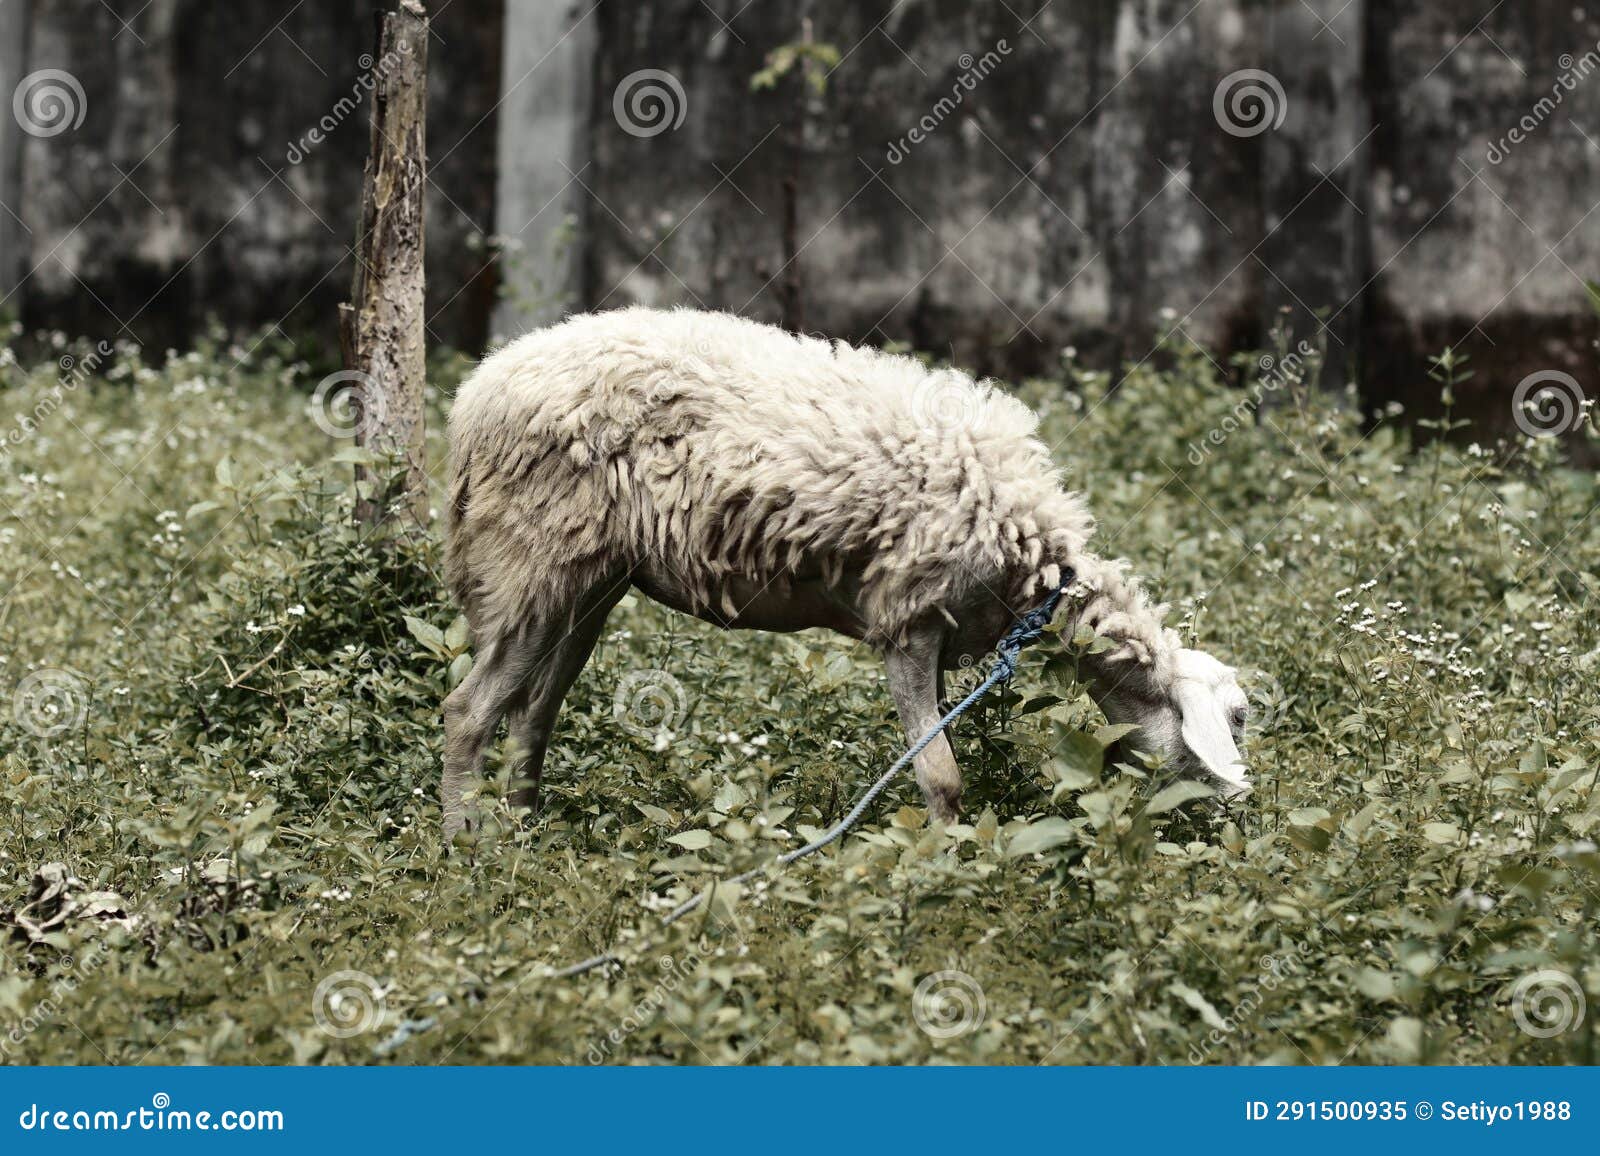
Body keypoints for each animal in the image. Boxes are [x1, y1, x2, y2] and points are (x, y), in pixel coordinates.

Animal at [442, 306, 1253, 840]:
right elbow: (941, 775)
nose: (1238, 816)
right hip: (528, 553)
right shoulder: (910, 619)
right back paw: (466, 846)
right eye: (1239, 719)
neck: (1036, 571)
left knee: (532, 713)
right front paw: (948, 866)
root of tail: (477, 391)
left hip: (588, 579)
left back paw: (525, 835)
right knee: (469, 709)